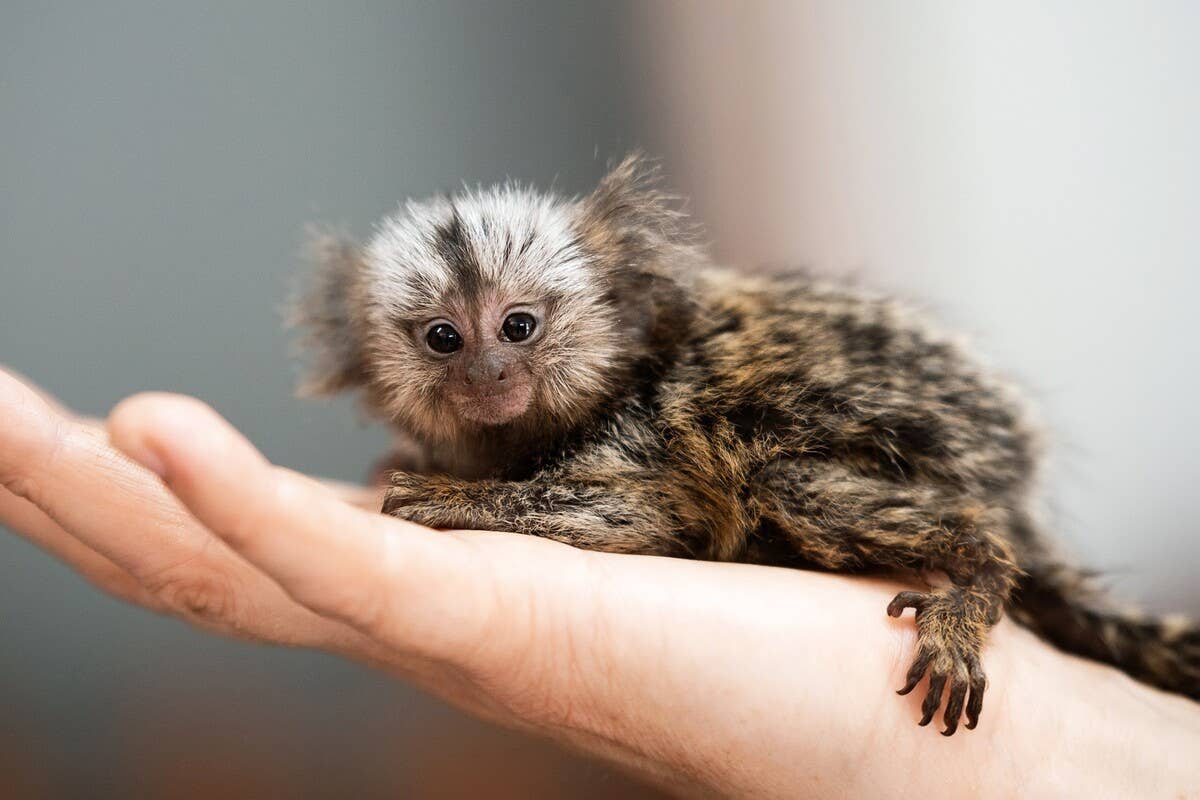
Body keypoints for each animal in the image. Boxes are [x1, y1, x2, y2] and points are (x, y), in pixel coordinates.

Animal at [291, 153, 1200, 736]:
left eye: (519, 327)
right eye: (443, 338)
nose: (487, 374)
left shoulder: (639, 438)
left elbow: (638, 517)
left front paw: (454, 497)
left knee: (787, 483)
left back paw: (975, 576)